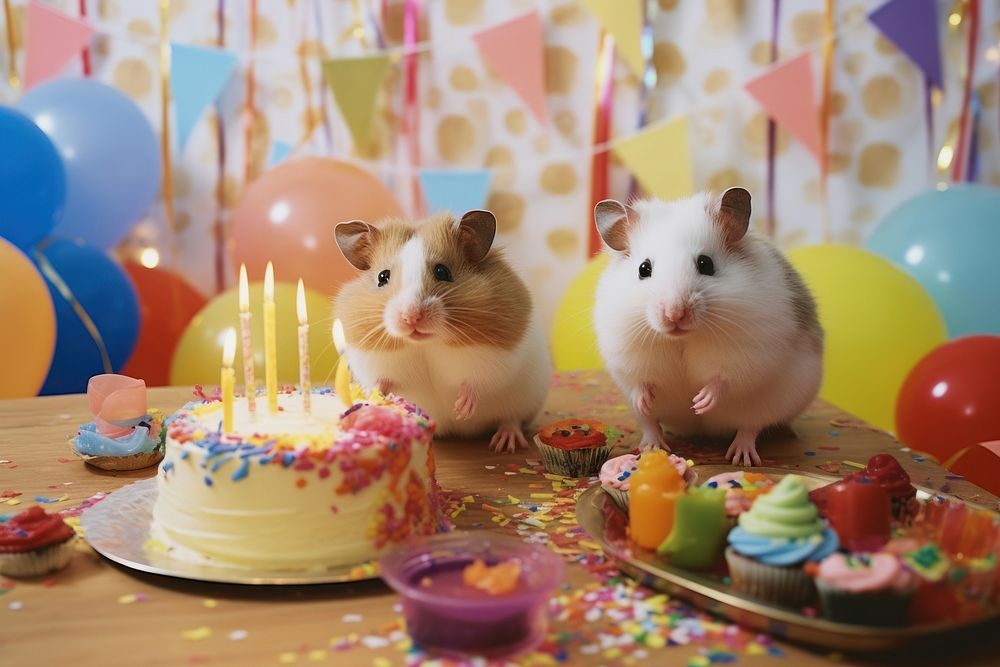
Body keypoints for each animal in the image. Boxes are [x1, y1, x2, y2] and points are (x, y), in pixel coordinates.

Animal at [333, 209, 551, 453]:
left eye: (442, 271)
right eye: (382, 277)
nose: (411, 317)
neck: (426, 344)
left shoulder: (498, 359)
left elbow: (476, 382)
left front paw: (461, 410)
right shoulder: (371, 361)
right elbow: (381, 382)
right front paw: (374, 399)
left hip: (525, 400)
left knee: (511, 419)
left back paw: (504, 443)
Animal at [592, 188, 823, 466]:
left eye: (705, 264)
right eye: (643, 269)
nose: (674, 315)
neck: (682, 338)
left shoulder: (749, 353)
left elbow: (722, 379)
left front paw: (700, 402)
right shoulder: (626, 353)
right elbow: (641, 380)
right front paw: (646, 400)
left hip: (767, 404)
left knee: (750, 428)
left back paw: (743, 456)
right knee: (650, 423)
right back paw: (651, 446)